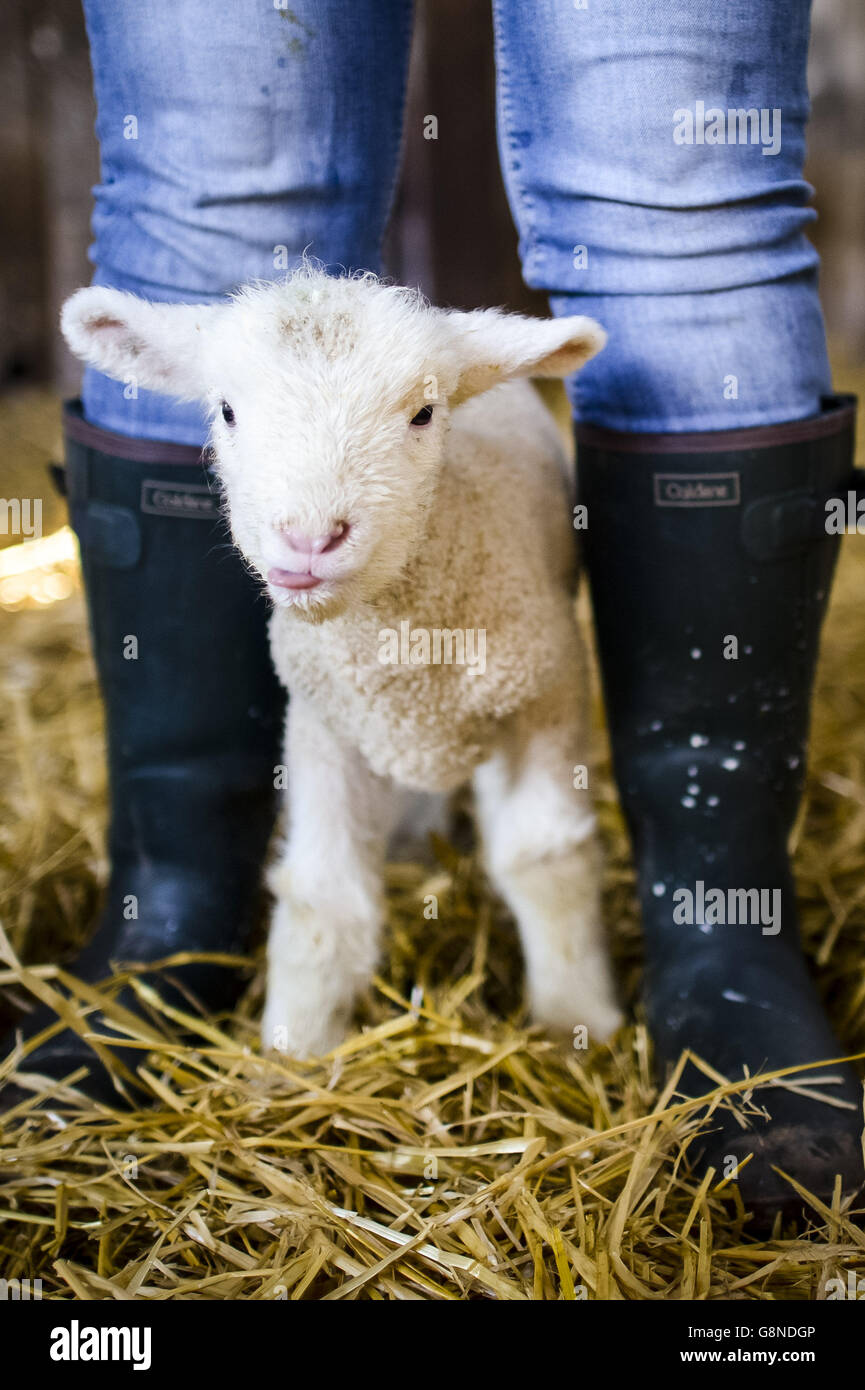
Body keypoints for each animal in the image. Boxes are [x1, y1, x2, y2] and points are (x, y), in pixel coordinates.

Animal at [61, 268, 623, 1058]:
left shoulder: (546, 699)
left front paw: (577, 1024)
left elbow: (544, 863)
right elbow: (324, 896)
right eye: (226, 410)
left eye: (423, 413)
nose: (309, 539)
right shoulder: (326, 728)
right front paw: (292, 1051)